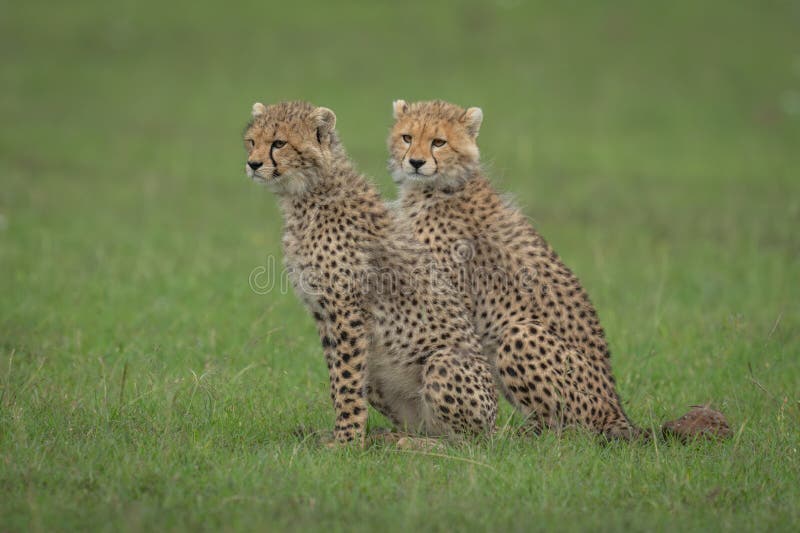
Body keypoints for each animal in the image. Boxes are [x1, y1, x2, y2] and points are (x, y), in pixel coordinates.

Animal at [242, 101, 497, 444]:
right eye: (251, 141)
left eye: (279, 143)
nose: (253, 164)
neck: (307, 193)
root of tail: (497, 422)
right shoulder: (323, 313)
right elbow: (339, 378)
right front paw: (342, 435)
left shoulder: (347, 310)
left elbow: (347, 381)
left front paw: (347, 442)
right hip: (379, 371)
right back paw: (387, 437)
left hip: (443, 363)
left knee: (467, 442)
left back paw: (412, 444)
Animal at [388, 99, 645, 440]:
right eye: (407, 137)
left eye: (438, 142)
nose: (415, 162)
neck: (439, 188)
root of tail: (616, 409)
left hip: (520, 334)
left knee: (564, 433)